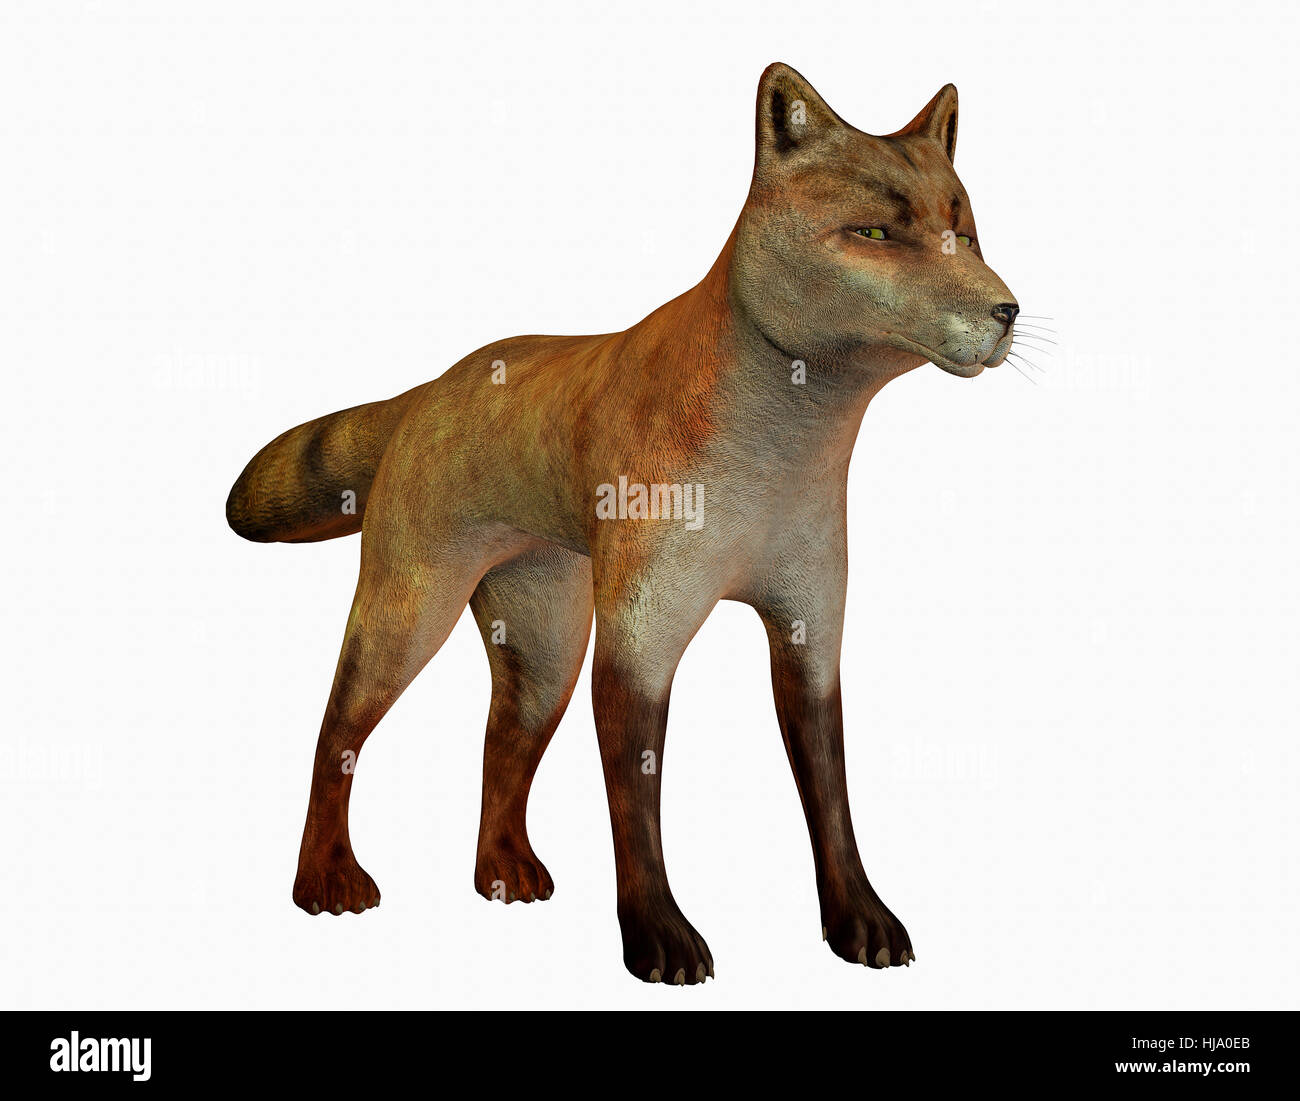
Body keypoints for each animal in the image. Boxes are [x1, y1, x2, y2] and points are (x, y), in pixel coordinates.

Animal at [226, 62, 1019, 985]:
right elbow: (636, 802)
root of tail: (431, 388)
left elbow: (830, 792)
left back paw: (503, 871)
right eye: (875, 232)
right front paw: (658, 937)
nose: (1007, 311)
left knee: (500, 746)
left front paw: (859, 920)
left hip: (545, 648)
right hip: (411, 614)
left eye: (965, 233)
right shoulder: (641, 637)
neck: (780, 459)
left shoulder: (810, 626)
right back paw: (324, 878)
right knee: (336, 732)